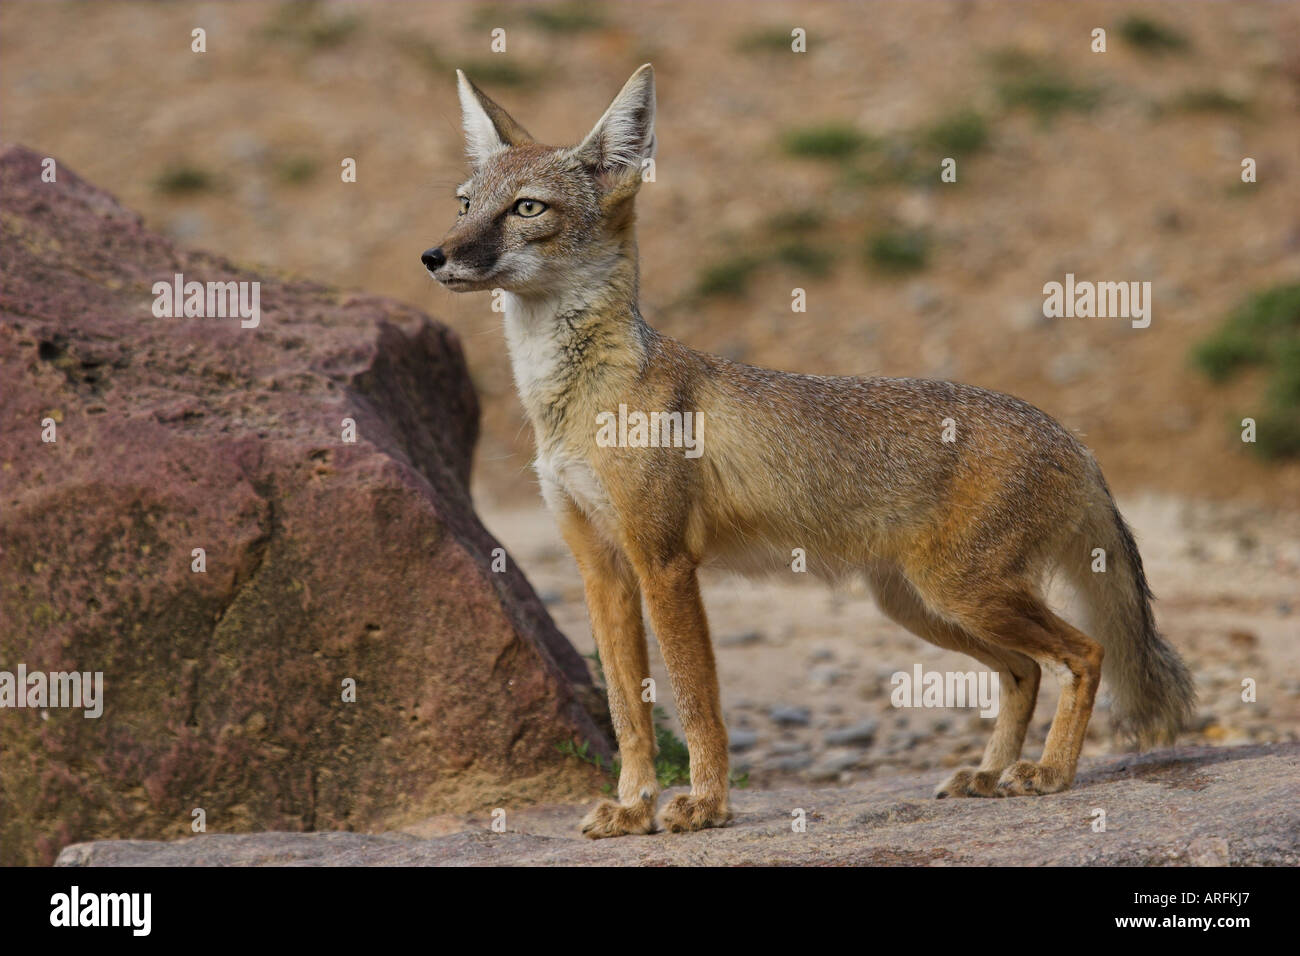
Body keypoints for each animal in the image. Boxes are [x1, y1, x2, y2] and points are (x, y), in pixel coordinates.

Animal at [422, 64, 1196, 838]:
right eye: (464, 204)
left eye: (526, 208)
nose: (434, 255)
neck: (574, 400)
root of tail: (1074, 440)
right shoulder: (601, 567)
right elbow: (626, 709)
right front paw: (633, 808)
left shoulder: (665, 564)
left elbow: (697, 703)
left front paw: (706, 805)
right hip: (923, 605)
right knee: (1024, 670)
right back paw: (987, 774)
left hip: (964, 594)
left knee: (1085, 653)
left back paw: (1051, 772)